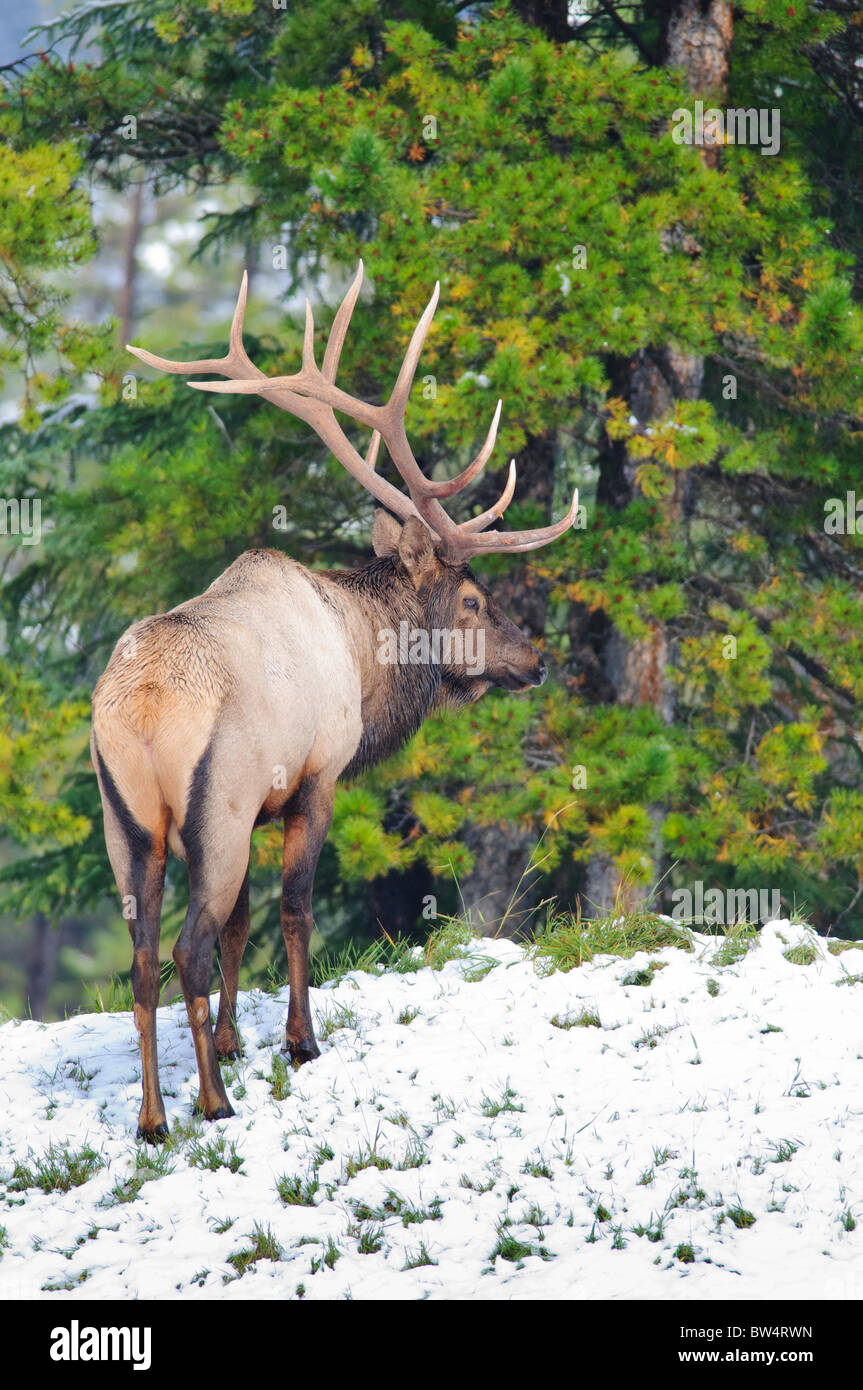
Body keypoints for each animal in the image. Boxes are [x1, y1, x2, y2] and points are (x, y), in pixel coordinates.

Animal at [91, 263, 578, 1141]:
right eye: (472, 601)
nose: (534, 659)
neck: (360, 656)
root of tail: (140, 710)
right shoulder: (312, 779)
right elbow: (293, 911)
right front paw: (297, 1041)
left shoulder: (257, 804)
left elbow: (244, 924)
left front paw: (234, 1041)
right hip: (213, 807)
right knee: (184, 948)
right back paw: (210, 1103)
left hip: (128, 823)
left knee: (145, 959)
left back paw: (152, 1119)